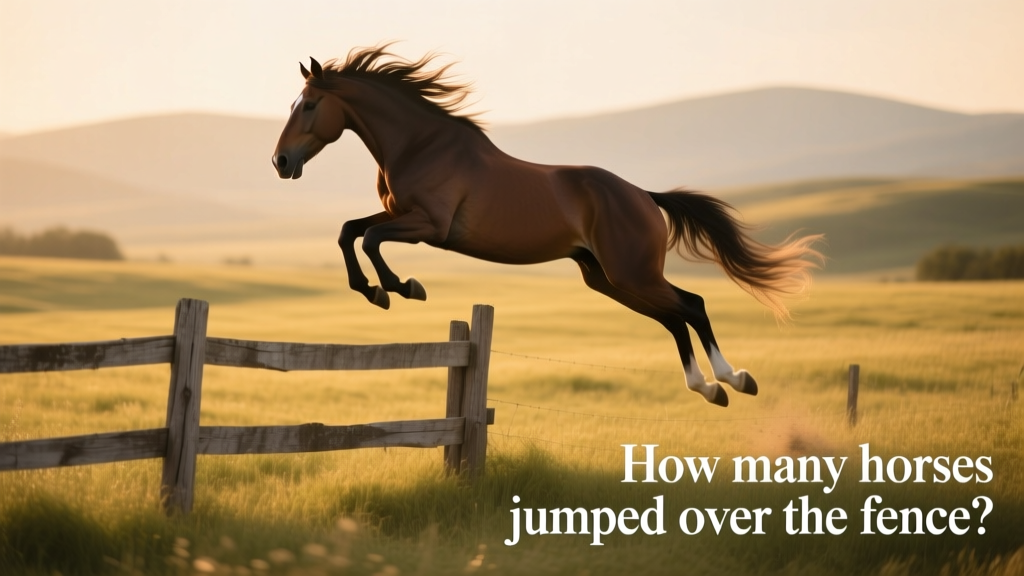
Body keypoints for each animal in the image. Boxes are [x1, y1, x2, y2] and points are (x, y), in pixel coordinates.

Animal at [272, 46, 823, 407]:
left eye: (310, 105)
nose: (281, 162)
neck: (422, 145)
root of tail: (644, 196)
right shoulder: (400, 215)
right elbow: (349, 230)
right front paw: (372, 290)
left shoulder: (429, 224)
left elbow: (369, 237)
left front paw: (400, 287)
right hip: (607, 278)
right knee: (673, 317)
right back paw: (708, 388)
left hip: (633, 273)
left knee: (693, 306)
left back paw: (735, 379)